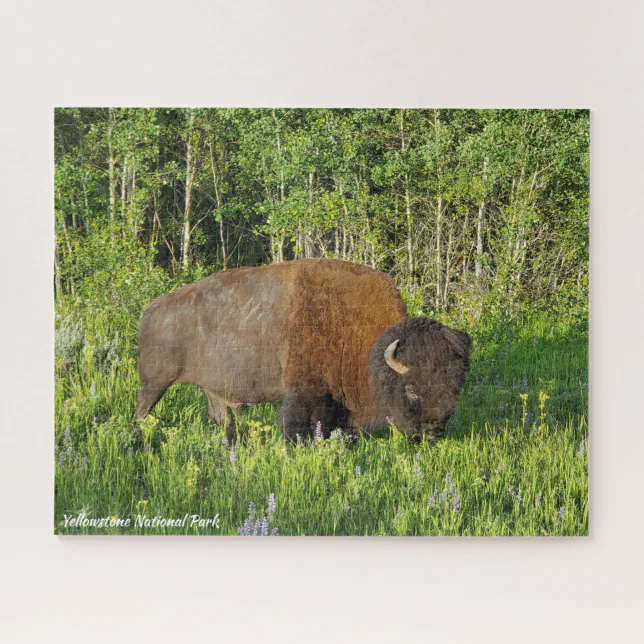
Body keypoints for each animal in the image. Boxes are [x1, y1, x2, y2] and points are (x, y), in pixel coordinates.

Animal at [136, 259, 471, 441]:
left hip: (213, 390)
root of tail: (150, 310)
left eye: (455, 390)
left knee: (223, 419)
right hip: (154, 383)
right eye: (412, 389)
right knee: (142, 412)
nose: (433, 432)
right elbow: (297, 427)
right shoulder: (304, 393)